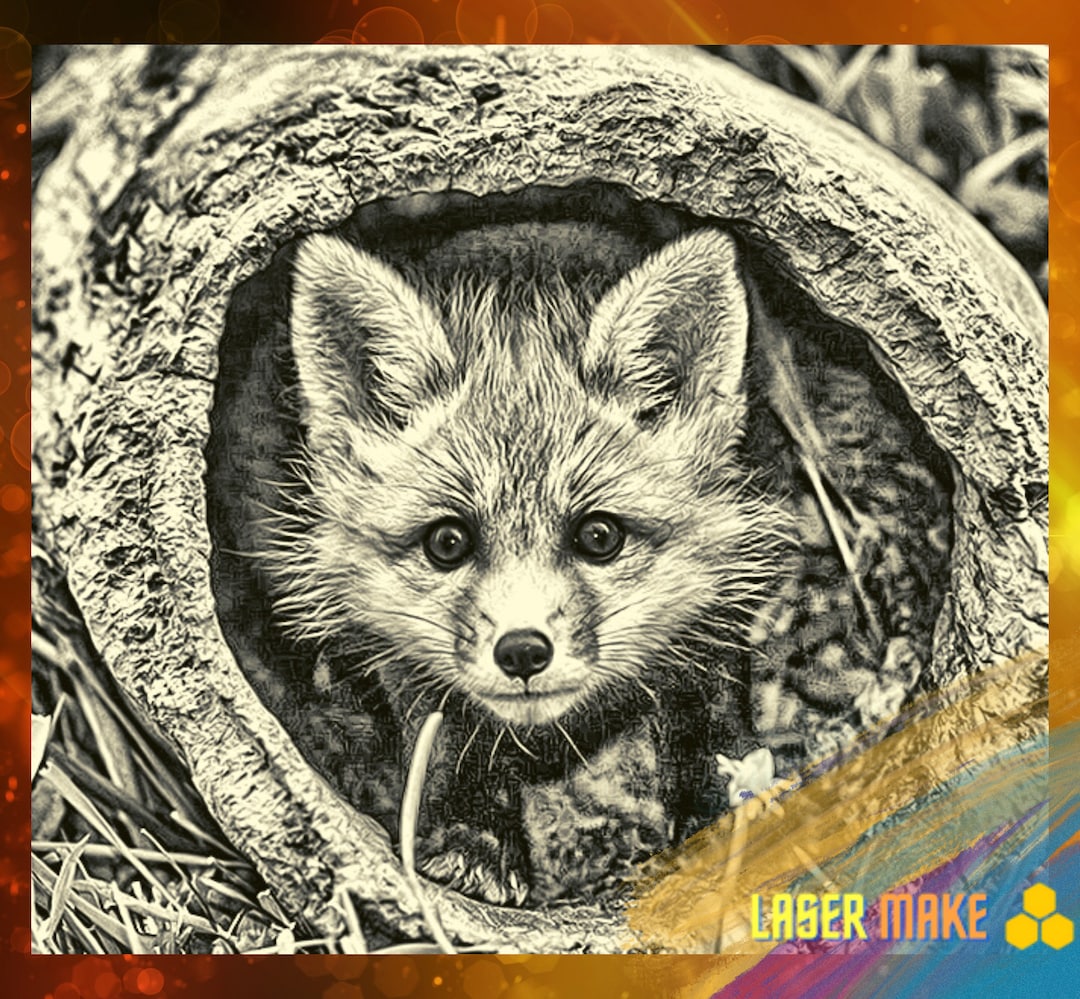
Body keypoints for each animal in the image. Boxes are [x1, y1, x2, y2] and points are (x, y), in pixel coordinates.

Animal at [259, 224, 790, 906]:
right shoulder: (407, 669)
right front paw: (477, 840)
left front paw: (725, 817)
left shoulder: (711, 626)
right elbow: (451, 744)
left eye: (598, 535)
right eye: (448, 542)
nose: (521, 651)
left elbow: (711, 727)